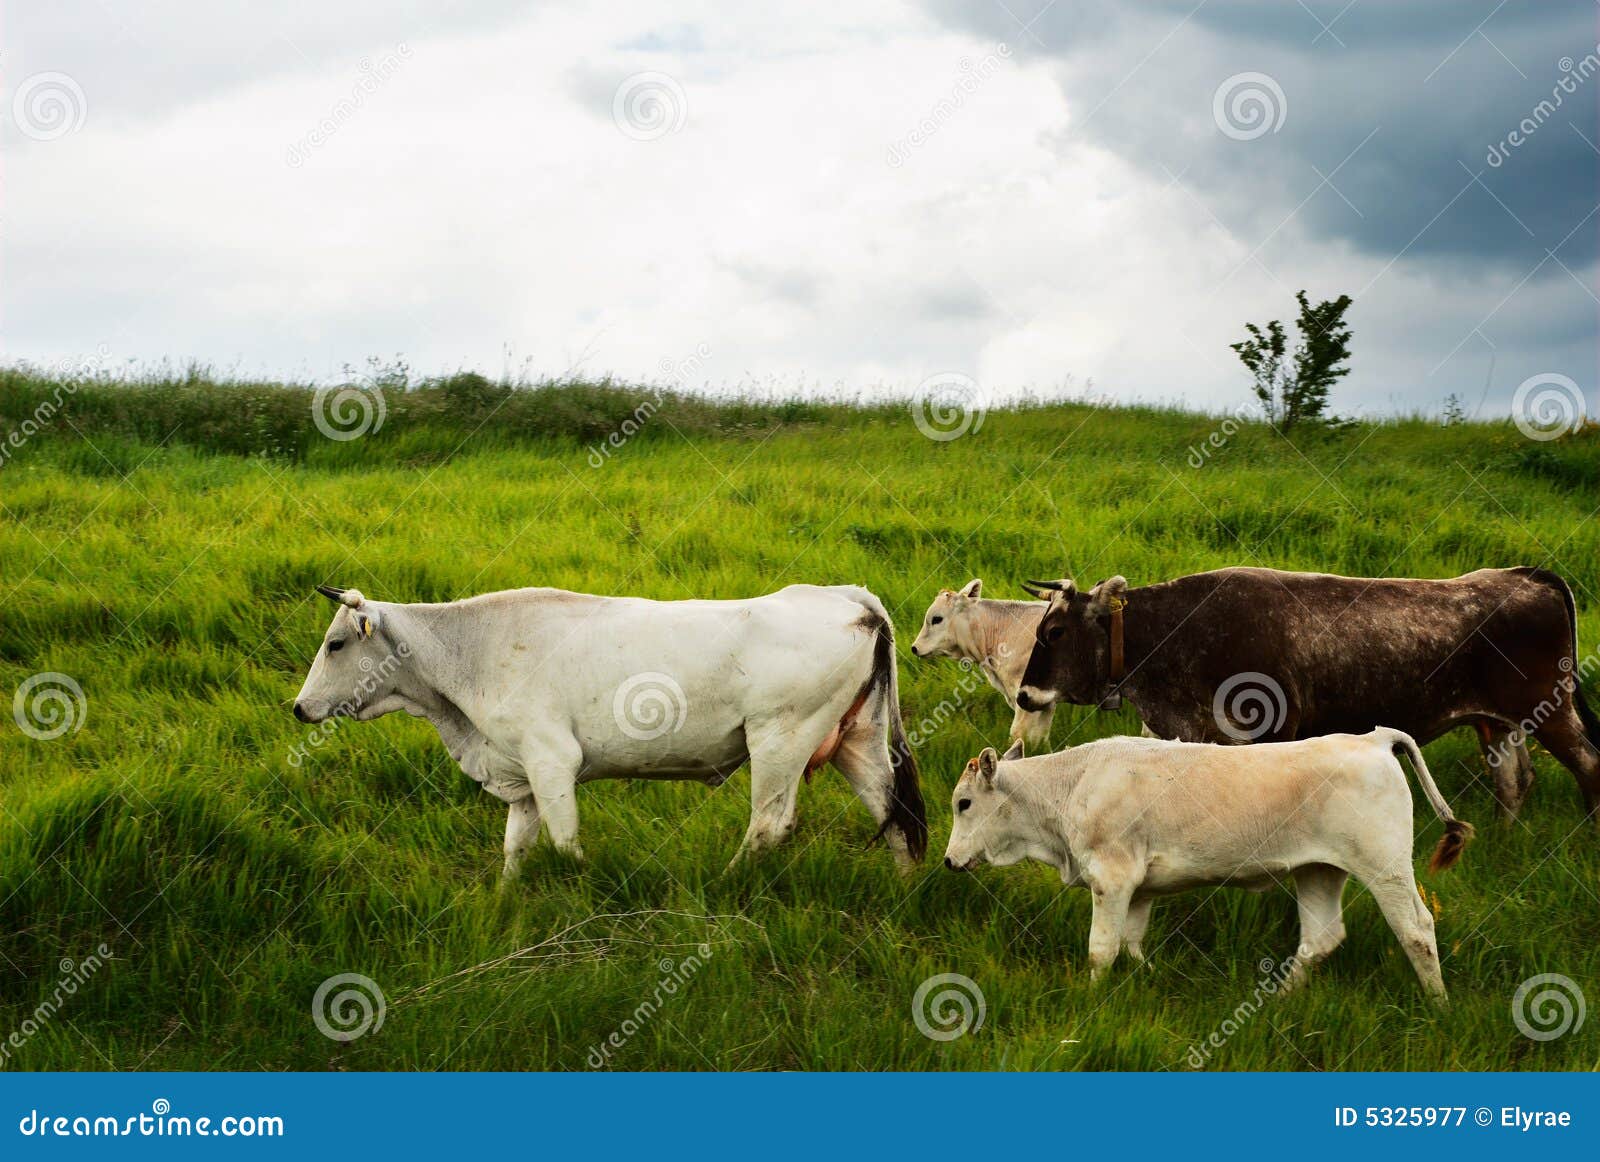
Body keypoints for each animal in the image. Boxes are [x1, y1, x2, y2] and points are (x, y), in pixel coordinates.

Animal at [291, 583, 927, 879]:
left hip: (779, 741)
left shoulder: (551, 762)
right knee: (892, 814)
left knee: (770, 824)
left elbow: (563, 841)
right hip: (857, 742)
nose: (298, 709)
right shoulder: (521, 775)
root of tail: (847, 598)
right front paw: (504, 904)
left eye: (336, 643)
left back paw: (726, 884)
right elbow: (515, 848)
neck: (473, 651)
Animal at [942, 730, 1472, 999]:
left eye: (964, 803)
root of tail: (1373, 737)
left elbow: (1101, 950)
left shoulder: (1112, 879)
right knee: (1321, 938)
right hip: (1318, 870)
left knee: (1416, 931)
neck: (1074, 784)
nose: (948, 861)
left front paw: (1090, 997)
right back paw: (1279, 1000)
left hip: (1386, 868)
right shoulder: (1138, 889)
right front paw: (1150, 977)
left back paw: (1438, 1004)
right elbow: (1132, 944)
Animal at [1015, 566, 1598, 823]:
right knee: (1514, 782)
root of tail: (1525, 575)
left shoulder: (1274, 729)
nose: (1022, 696)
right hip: (1501, 724)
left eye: (1056, 632)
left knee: (1589, 765)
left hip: (1551, 711)